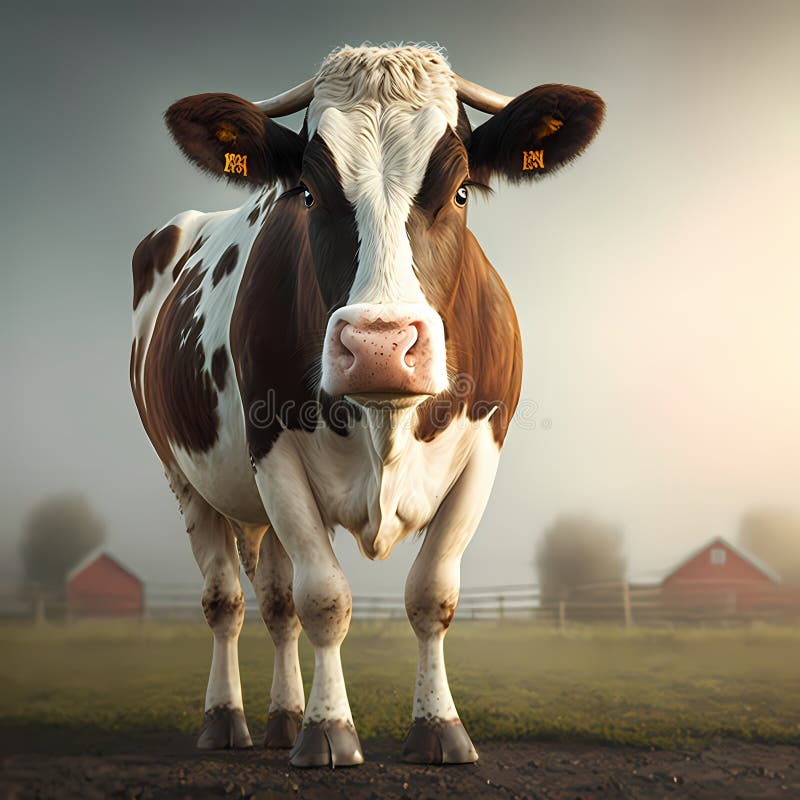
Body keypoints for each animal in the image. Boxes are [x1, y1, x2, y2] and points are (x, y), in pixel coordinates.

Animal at [130, 43, 604, 767]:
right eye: (308, 192)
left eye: (460, 191)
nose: (381, 344)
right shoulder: (273, 454)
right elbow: (325, 599)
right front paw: (329, 732)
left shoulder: (485, 452)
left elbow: (431, 594)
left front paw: (438, 728)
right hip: (184, 476)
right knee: (226, 602)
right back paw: (226, 720)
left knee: (275, 602)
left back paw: (282, 719)